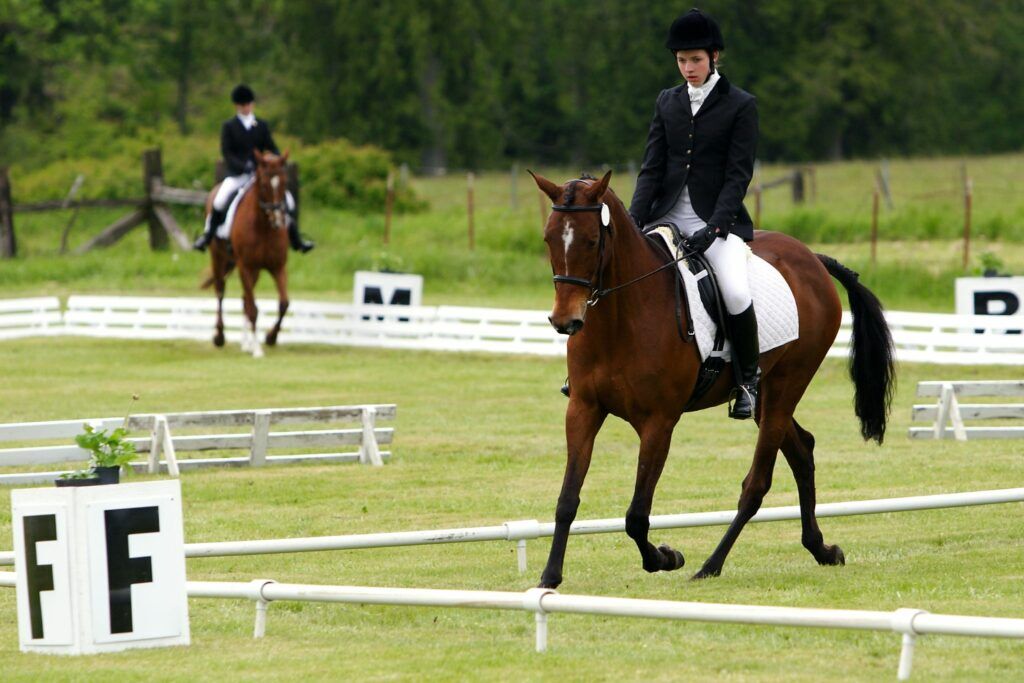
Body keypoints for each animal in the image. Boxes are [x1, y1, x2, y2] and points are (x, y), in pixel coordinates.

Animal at [202, 150, 291, 358]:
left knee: (244, 299)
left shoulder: (277, 267)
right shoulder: (246, 267)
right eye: (264, 184)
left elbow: (283, 304)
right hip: (219, 258)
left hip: (255, 270)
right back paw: (220, 337)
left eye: (284, 182)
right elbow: (253, 310)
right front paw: (258, 349)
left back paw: (246, 343)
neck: (264, 227)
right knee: (221, 291)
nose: (277, 220)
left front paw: (270, 338)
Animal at [530, 170, 895, 588]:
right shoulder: (583, 409)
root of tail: (811, 259)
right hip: (766, 395)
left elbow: (636, 515)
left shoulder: (659, 422)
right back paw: (821, 549)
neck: (619, 319)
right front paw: (549, 577)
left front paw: (665, 557)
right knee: (802, 450)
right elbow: (567, 500)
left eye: (592, 241)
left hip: (788, 384)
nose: (564, 321)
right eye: (548, 238)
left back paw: (711, 565)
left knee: (757, 484)